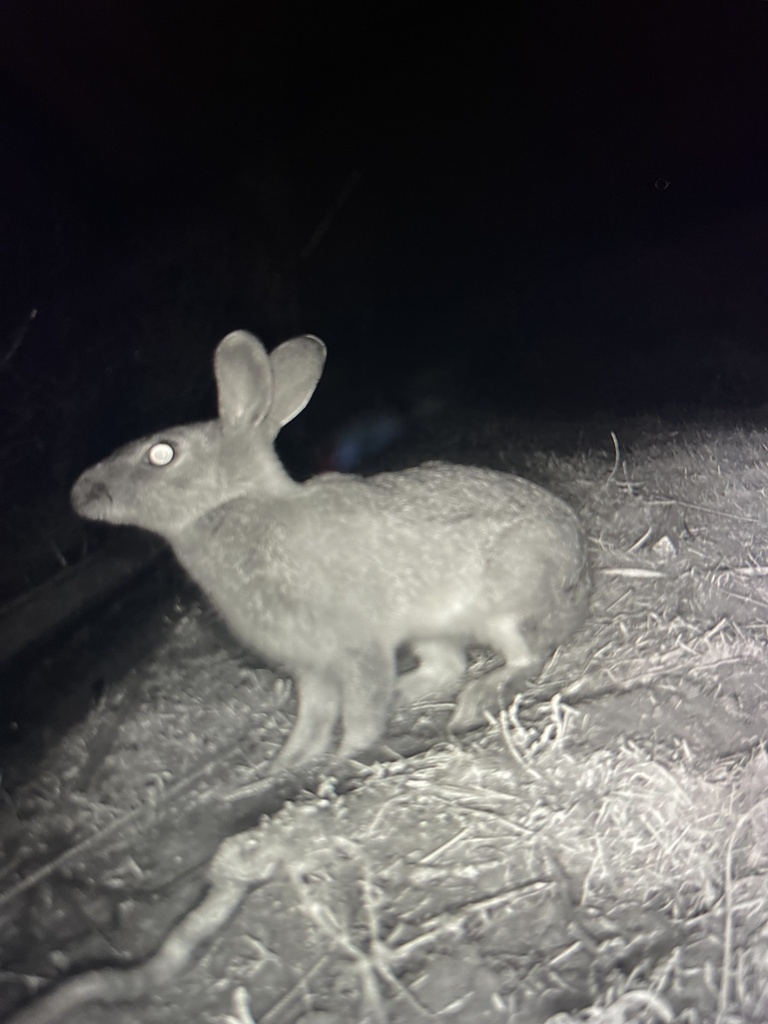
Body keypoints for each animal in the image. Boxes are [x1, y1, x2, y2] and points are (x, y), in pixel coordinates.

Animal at [71, 330, 590, 768]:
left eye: (163, 453)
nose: (80, 492)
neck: (234, 506)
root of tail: (579, 575)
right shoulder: (312, 667)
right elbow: (313, 717)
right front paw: (285, 766)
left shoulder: (356, 645)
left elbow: (359, 706)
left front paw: (347, 755)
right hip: (430, 628)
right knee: (445, 665)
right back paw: (408, 694)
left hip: (508, 598)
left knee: (528, 652)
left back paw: (473, 700)